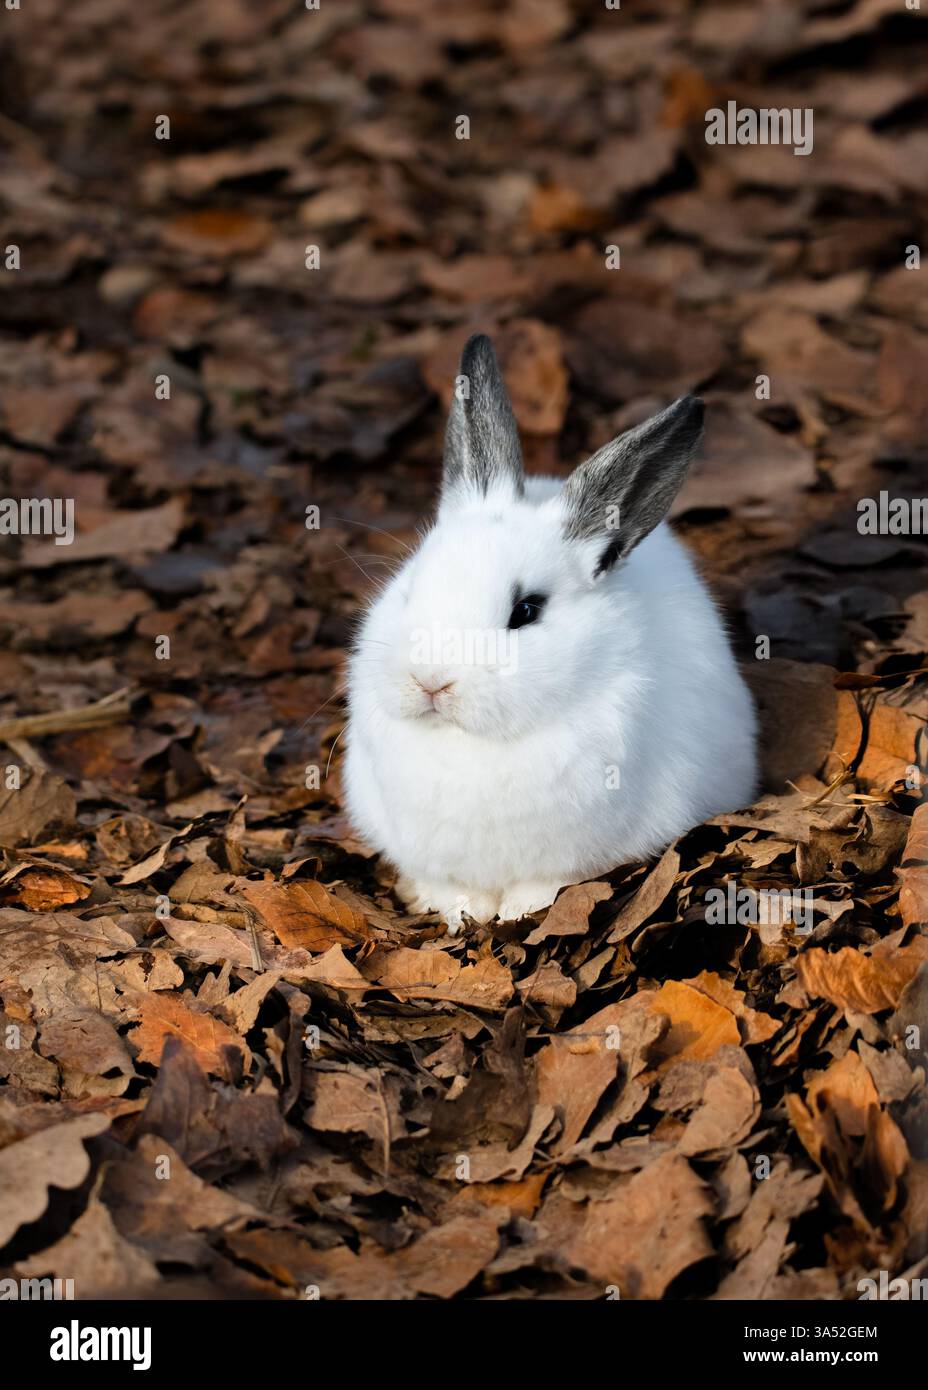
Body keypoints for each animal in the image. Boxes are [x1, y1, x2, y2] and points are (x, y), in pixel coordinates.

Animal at [344, 333, 757, 931]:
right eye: (411, 586)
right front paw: (456, 912)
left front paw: (521, 910)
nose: (431, 681)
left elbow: (545, 884)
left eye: (526, 611)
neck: (469, 743)